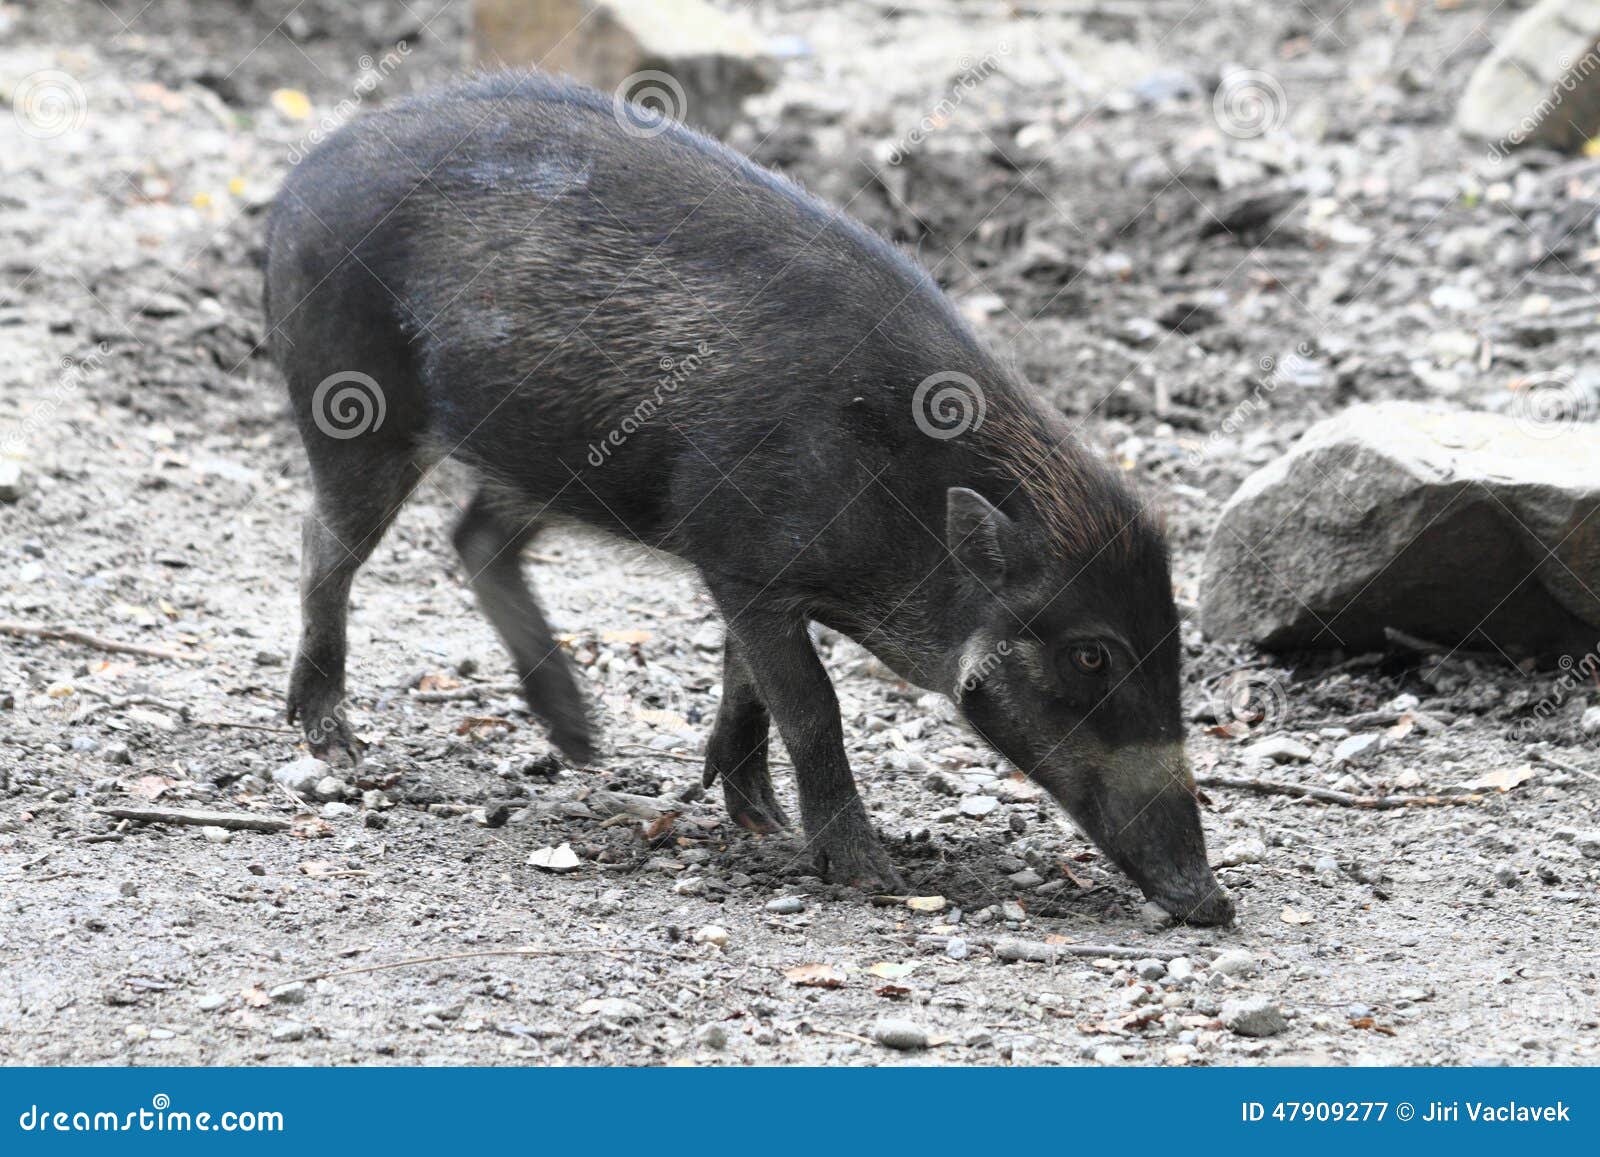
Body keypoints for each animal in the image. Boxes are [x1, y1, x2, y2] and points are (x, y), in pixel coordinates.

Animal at [263, 72, 1234, 925]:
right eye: (1092, 654)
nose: (1213, 905)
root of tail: (302, 176)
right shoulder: (741, 560)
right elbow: (811, 704)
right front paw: (867, 875)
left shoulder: (749, 575)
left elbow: (749, 682)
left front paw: (758, 821)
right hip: (355, 409)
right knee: (325, 542)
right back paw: (338, 745)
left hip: (546, 463)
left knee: (474, 538)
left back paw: (582, 744)